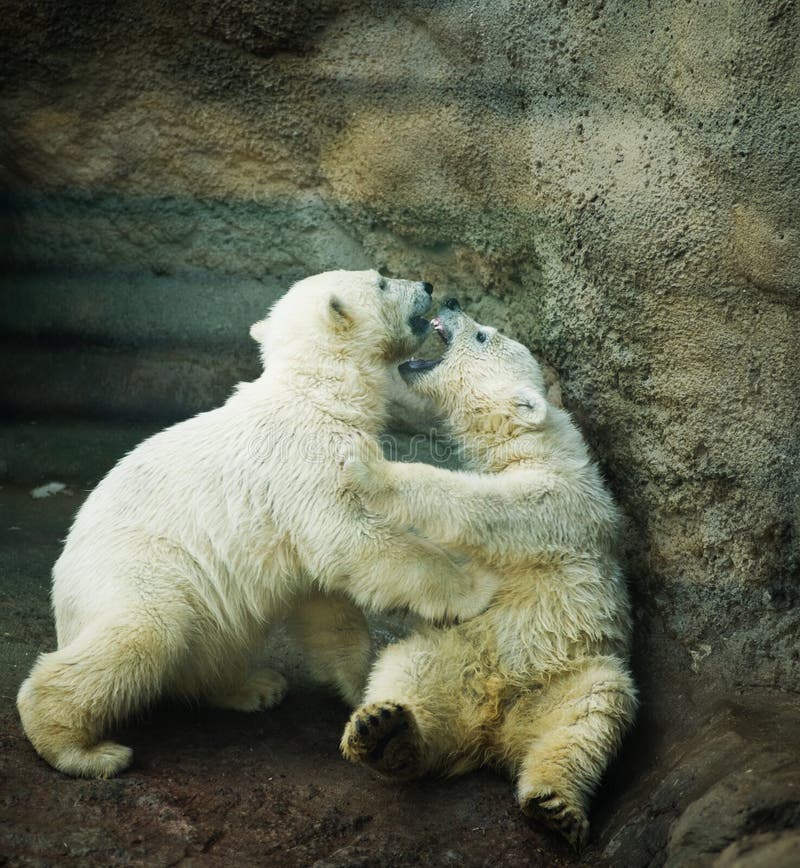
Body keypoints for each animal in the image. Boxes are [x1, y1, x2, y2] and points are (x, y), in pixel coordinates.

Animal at [17, 271, 499, 779]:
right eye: (383, 281)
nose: (428, 286)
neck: (317, 396)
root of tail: (62, 596)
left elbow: (327, 602)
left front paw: (364, 687)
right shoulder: (308, 464)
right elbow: (356, 542)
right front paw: (473, 587)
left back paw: (255, 686)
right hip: (140, 571)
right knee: (141, 633)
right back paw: (83, 749)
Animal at [339, 299, 637, 850]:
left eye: (482, 335)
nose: (453, 301)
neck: (528, 438)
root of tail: (494, 730)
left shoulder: (557, 496)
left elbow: (479, 507)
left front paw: (370, 466)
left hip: (569, 675)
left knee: (590, 718)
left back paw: (556, 806)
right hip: (451, 658)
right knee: (403, 670)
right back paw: (383, 732)